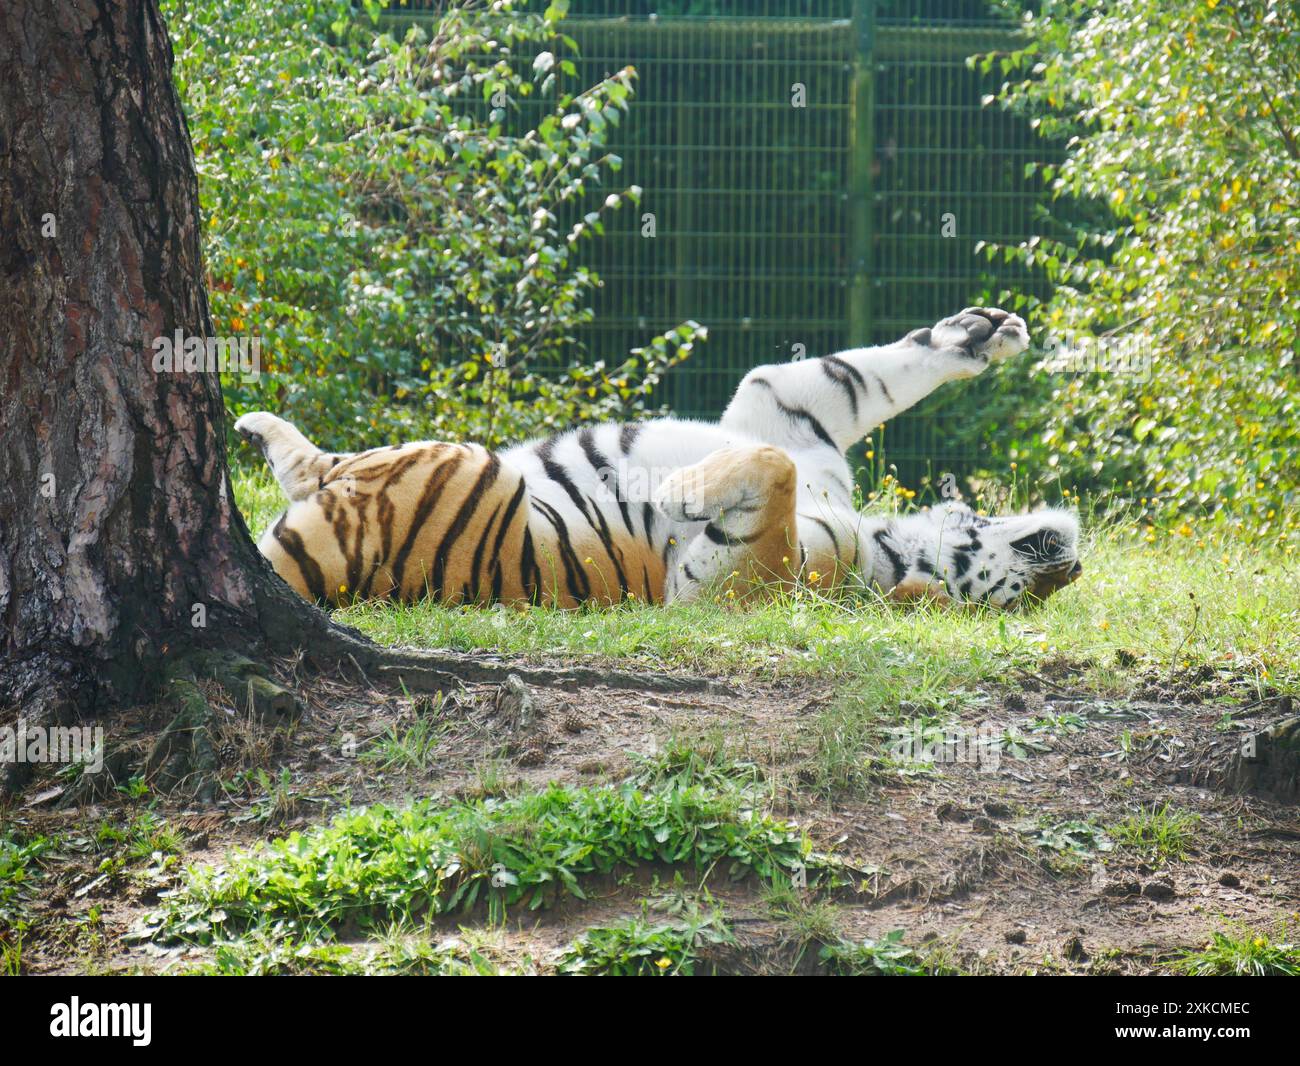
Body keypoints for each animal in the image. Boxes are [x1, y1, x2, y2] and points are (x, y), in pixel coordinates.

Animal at [235, 307, 1082, 611]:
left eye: (1017, 597)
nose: (1069, 567)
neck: (874, 536)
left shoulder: (727, 584)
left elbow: (769, 477)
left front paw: (675, 489)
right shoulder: (784, 408)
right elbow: (858, 376)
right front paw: (982, 332)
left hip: (451, 464)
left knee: (326, 471)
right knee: (319, 464)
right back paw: (255, 423)